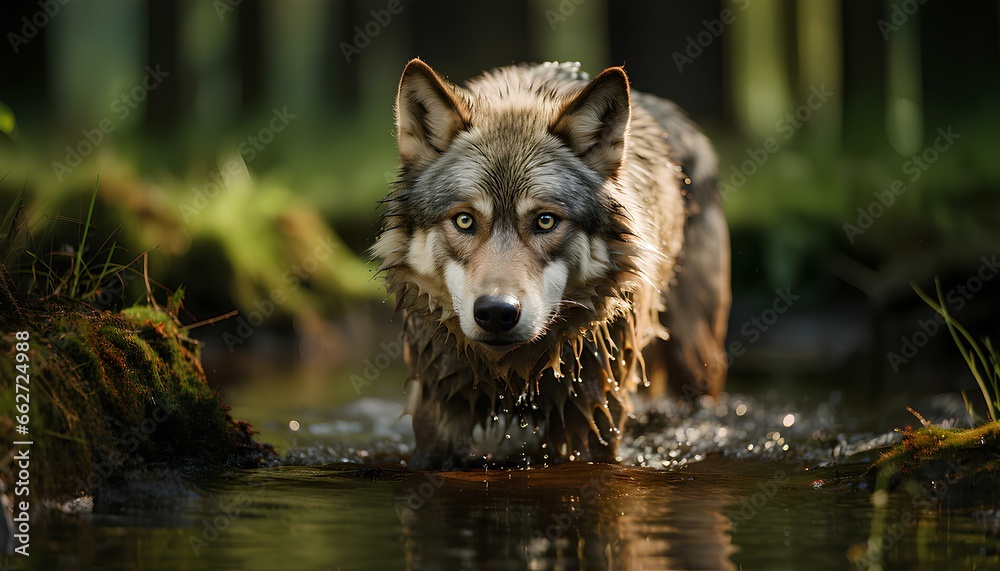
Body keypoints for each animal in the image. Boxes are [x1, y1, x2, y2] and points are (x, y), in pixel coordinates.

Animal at [374, 59, 730, 469]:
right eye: (464, 220)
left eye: (545, 221)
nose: (496, 312)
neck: (514, 373)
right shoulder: (437, 419)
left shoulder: (590, 421)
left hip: (693, 360)